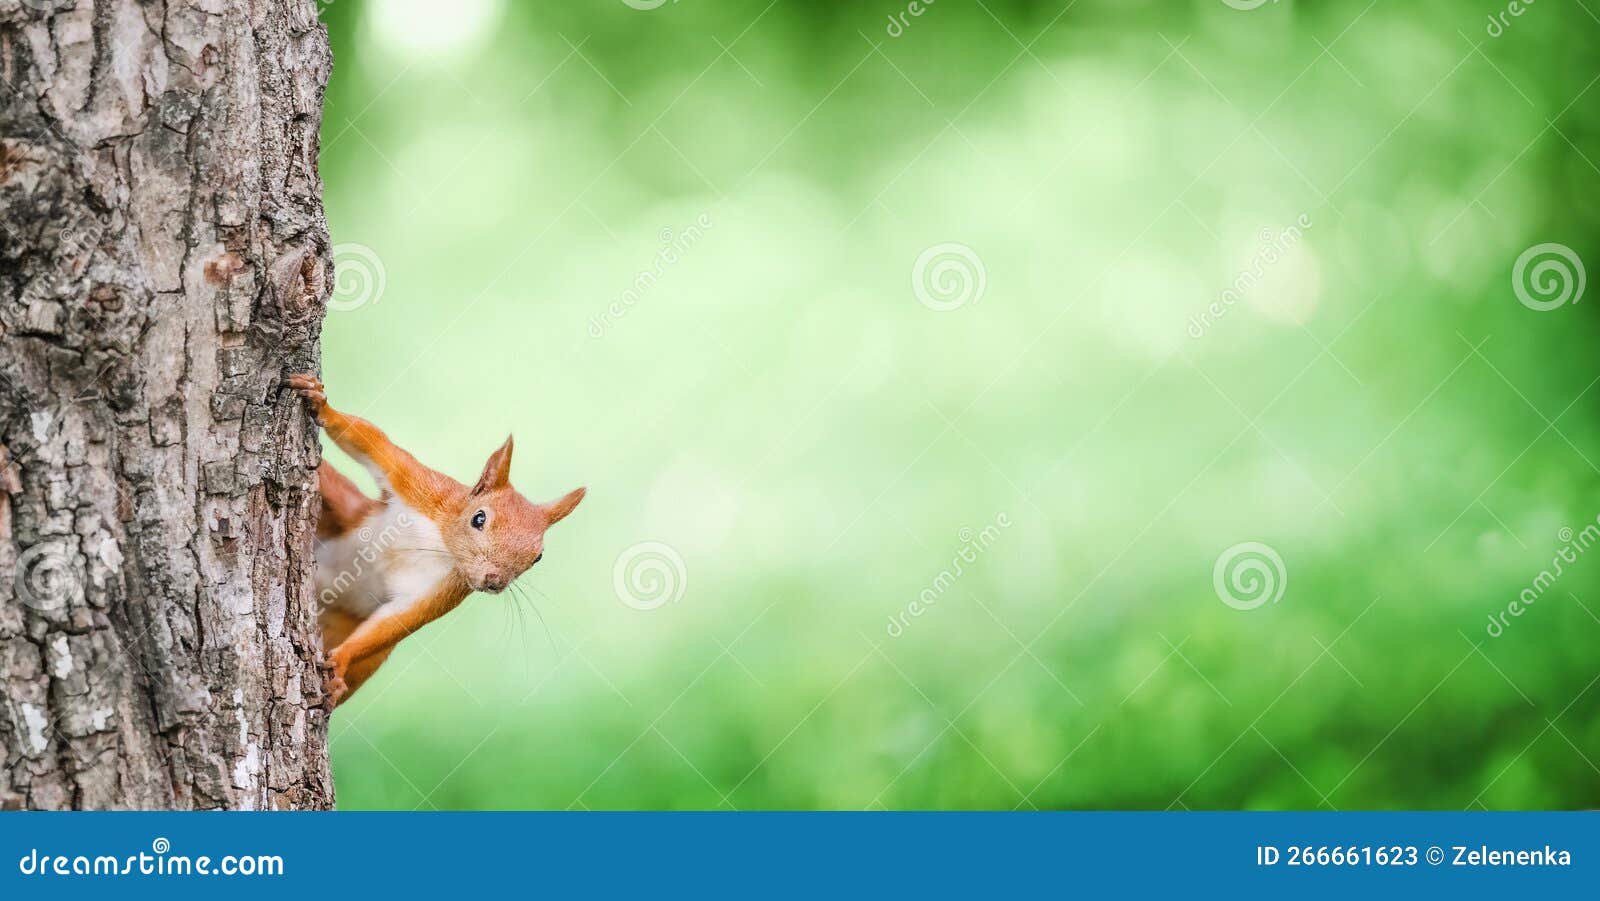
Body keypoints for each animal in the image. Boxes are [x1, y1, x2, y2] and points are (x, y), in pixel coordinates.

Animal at [285, 374, 586, 707]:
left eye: (538, 557)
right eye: (478, 518)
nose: (493, 581)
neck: (441, 544)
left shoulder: (445, 590)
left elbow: (398, 621)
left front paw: (340, 662)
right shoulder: (422, 487)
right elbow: (372, 441)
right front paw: (322, 404)